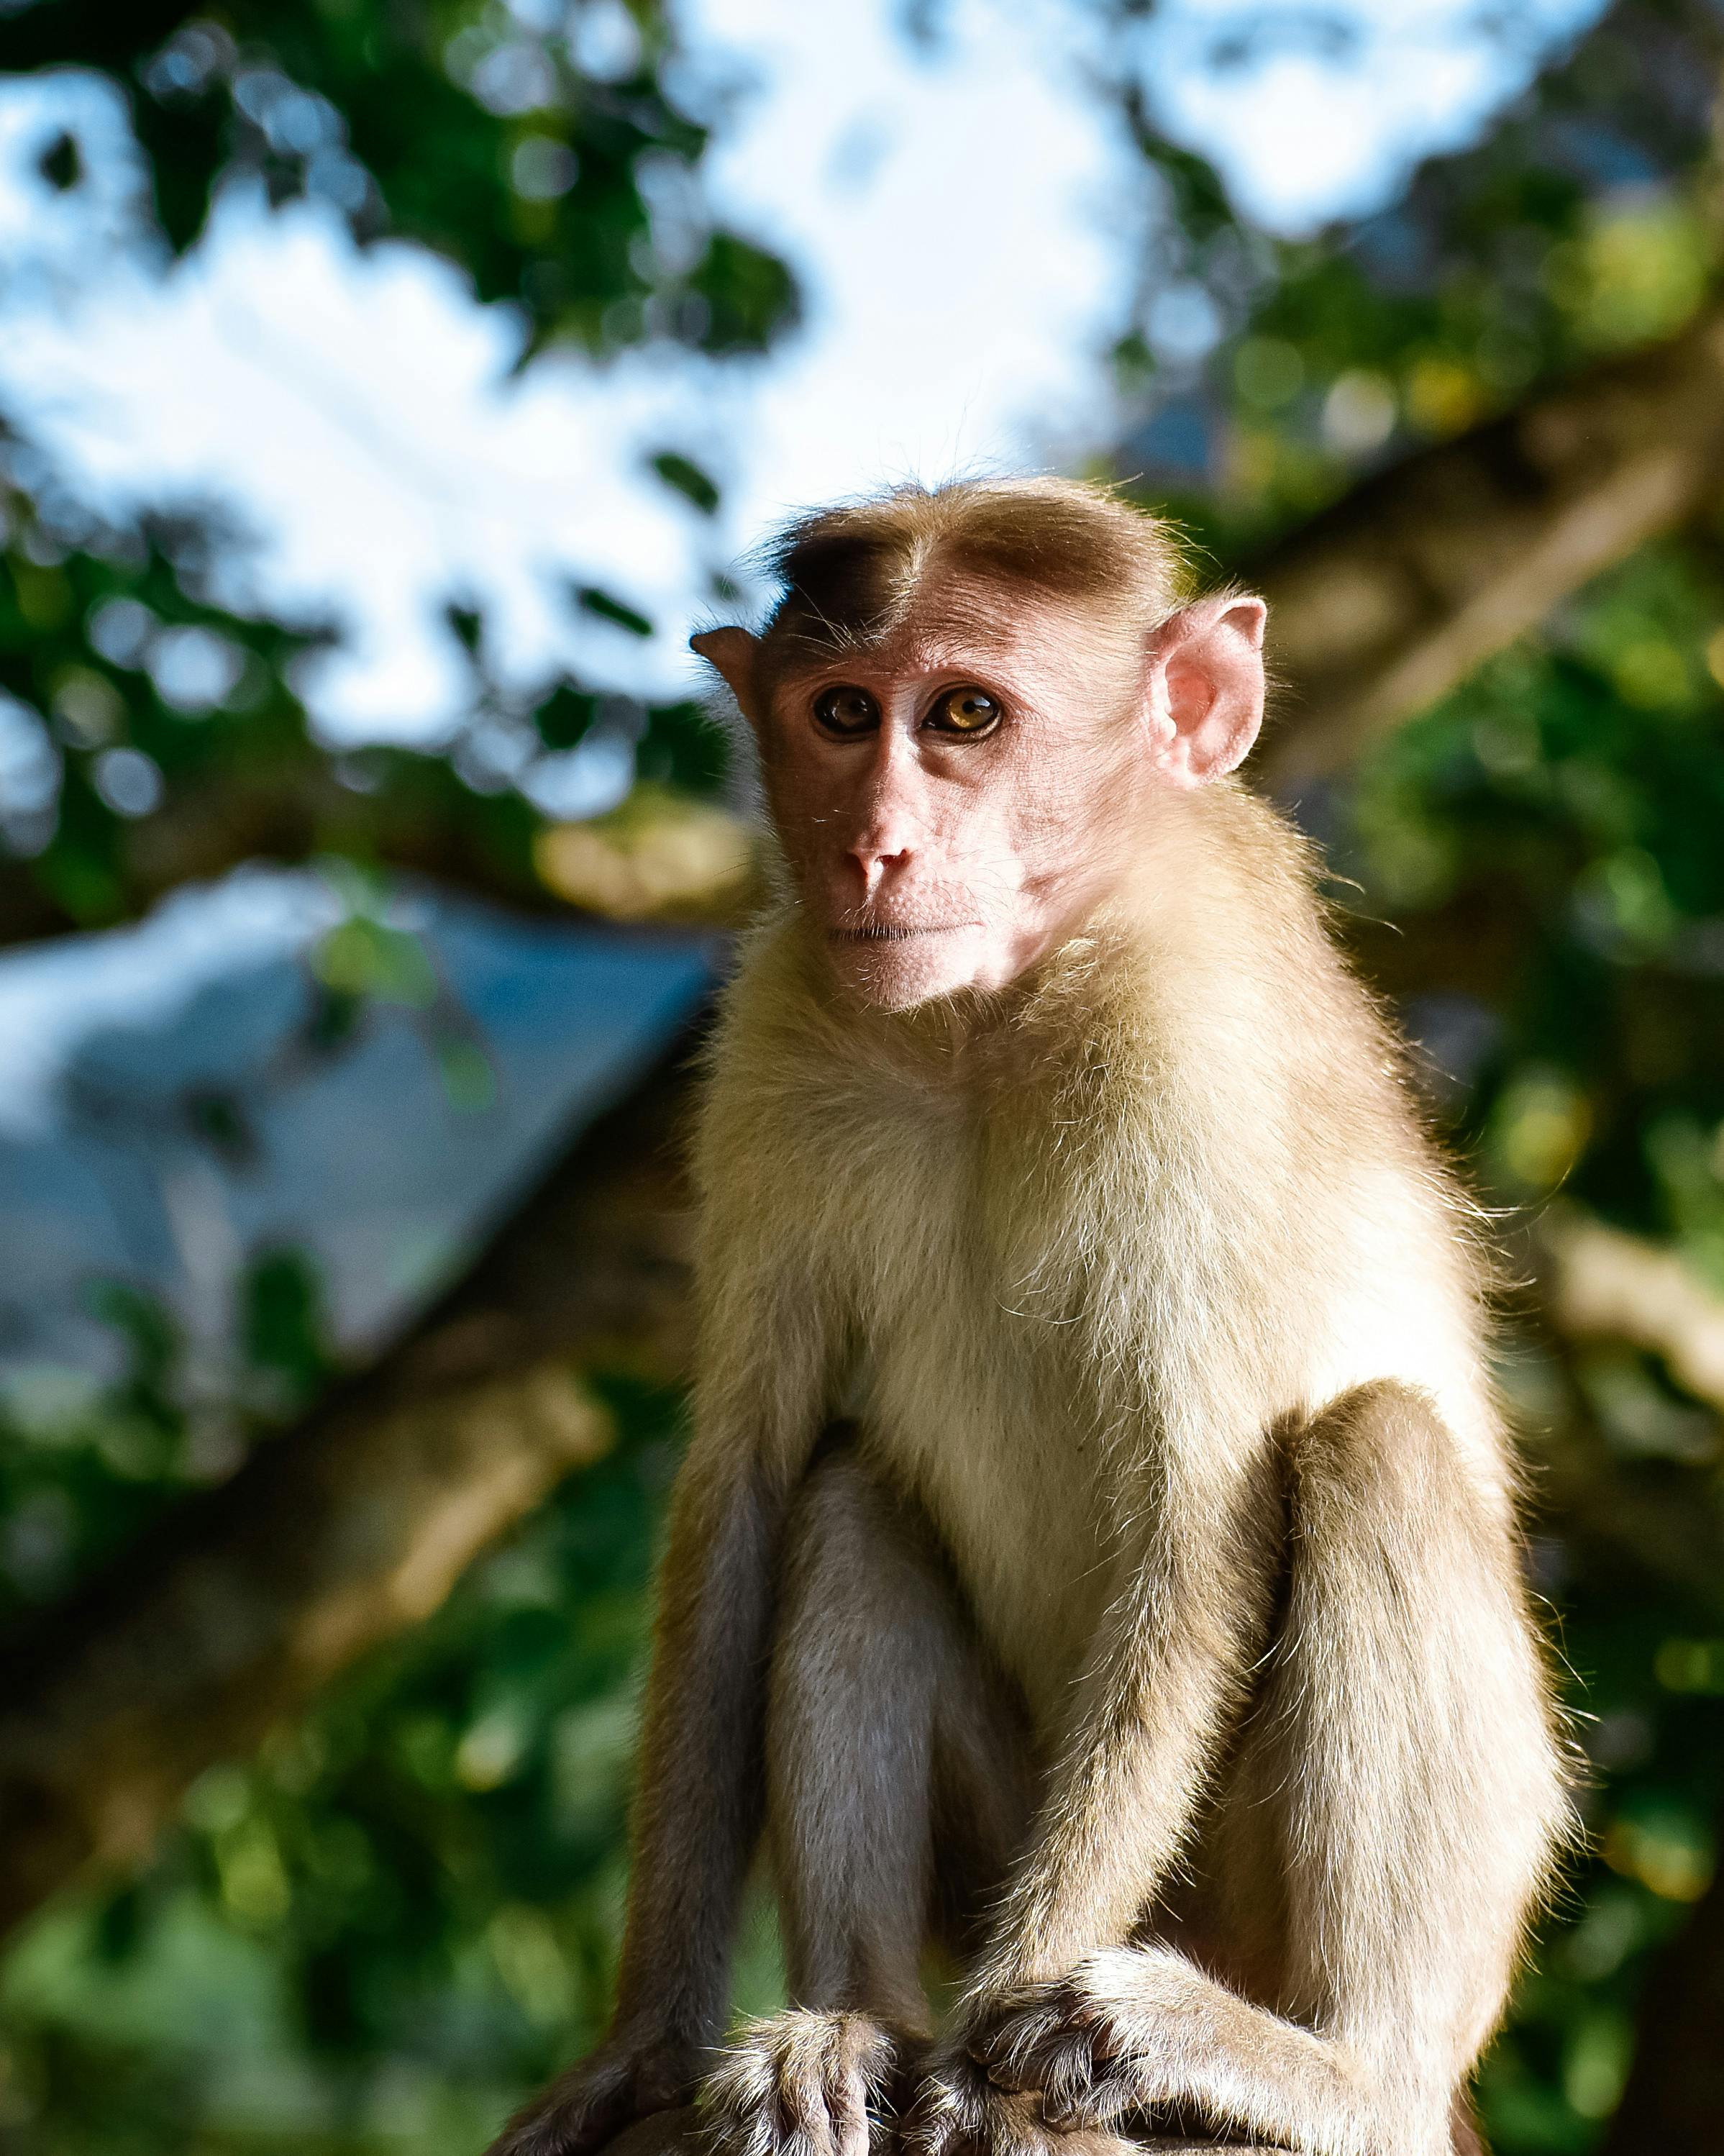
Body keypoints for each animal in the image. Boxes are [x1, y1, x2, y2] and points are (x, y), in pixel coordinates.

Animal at [489, 477, 1572, 2156]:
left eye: (966, 715)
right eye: (840, 712)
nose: (874, 847)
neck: (981, 1029)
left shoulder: (1184, 1047)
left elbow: (1195, 1531)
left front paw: (984, 2073)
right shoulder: (776, 1032)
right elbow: (747, 1485)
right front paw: (641, 2049)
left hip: (1265, 1898)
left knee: (1377, 1447)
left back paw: (1325, 2071)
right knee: (849, 1492)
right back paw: (854, 2024)